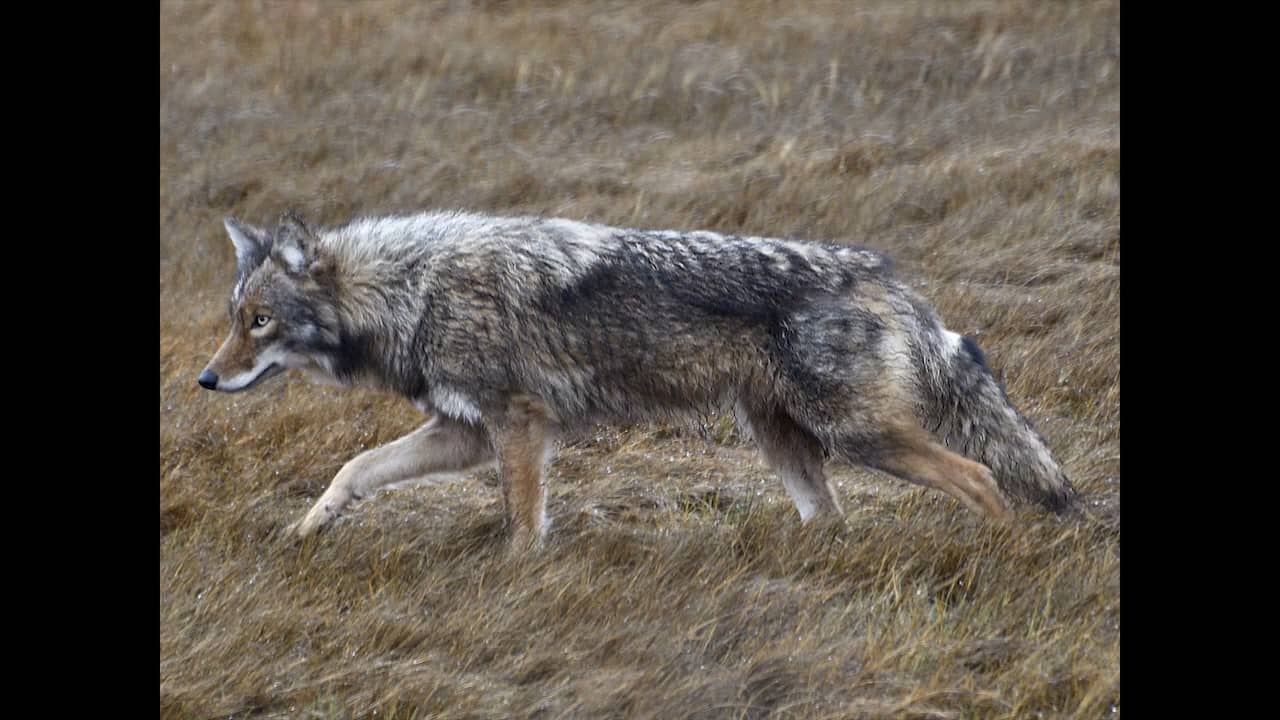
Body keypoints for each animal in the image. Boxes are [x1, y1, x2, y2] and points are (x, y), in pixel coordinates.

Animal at [198, 210, 1078, 547]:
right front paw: (305, 530)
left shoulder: (517, 426)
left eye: (260, 323)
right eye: (235, 317)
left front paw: (519, 581)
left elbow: (523, 524)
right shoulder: (466, 433)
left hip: (858, 436)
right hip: (786, 445)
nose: (206, 379)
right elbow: (354, 468)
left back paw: (1002, 557)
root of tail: (884, 274)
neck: (412, 288)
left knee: (979, 478)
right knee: (833, 518)